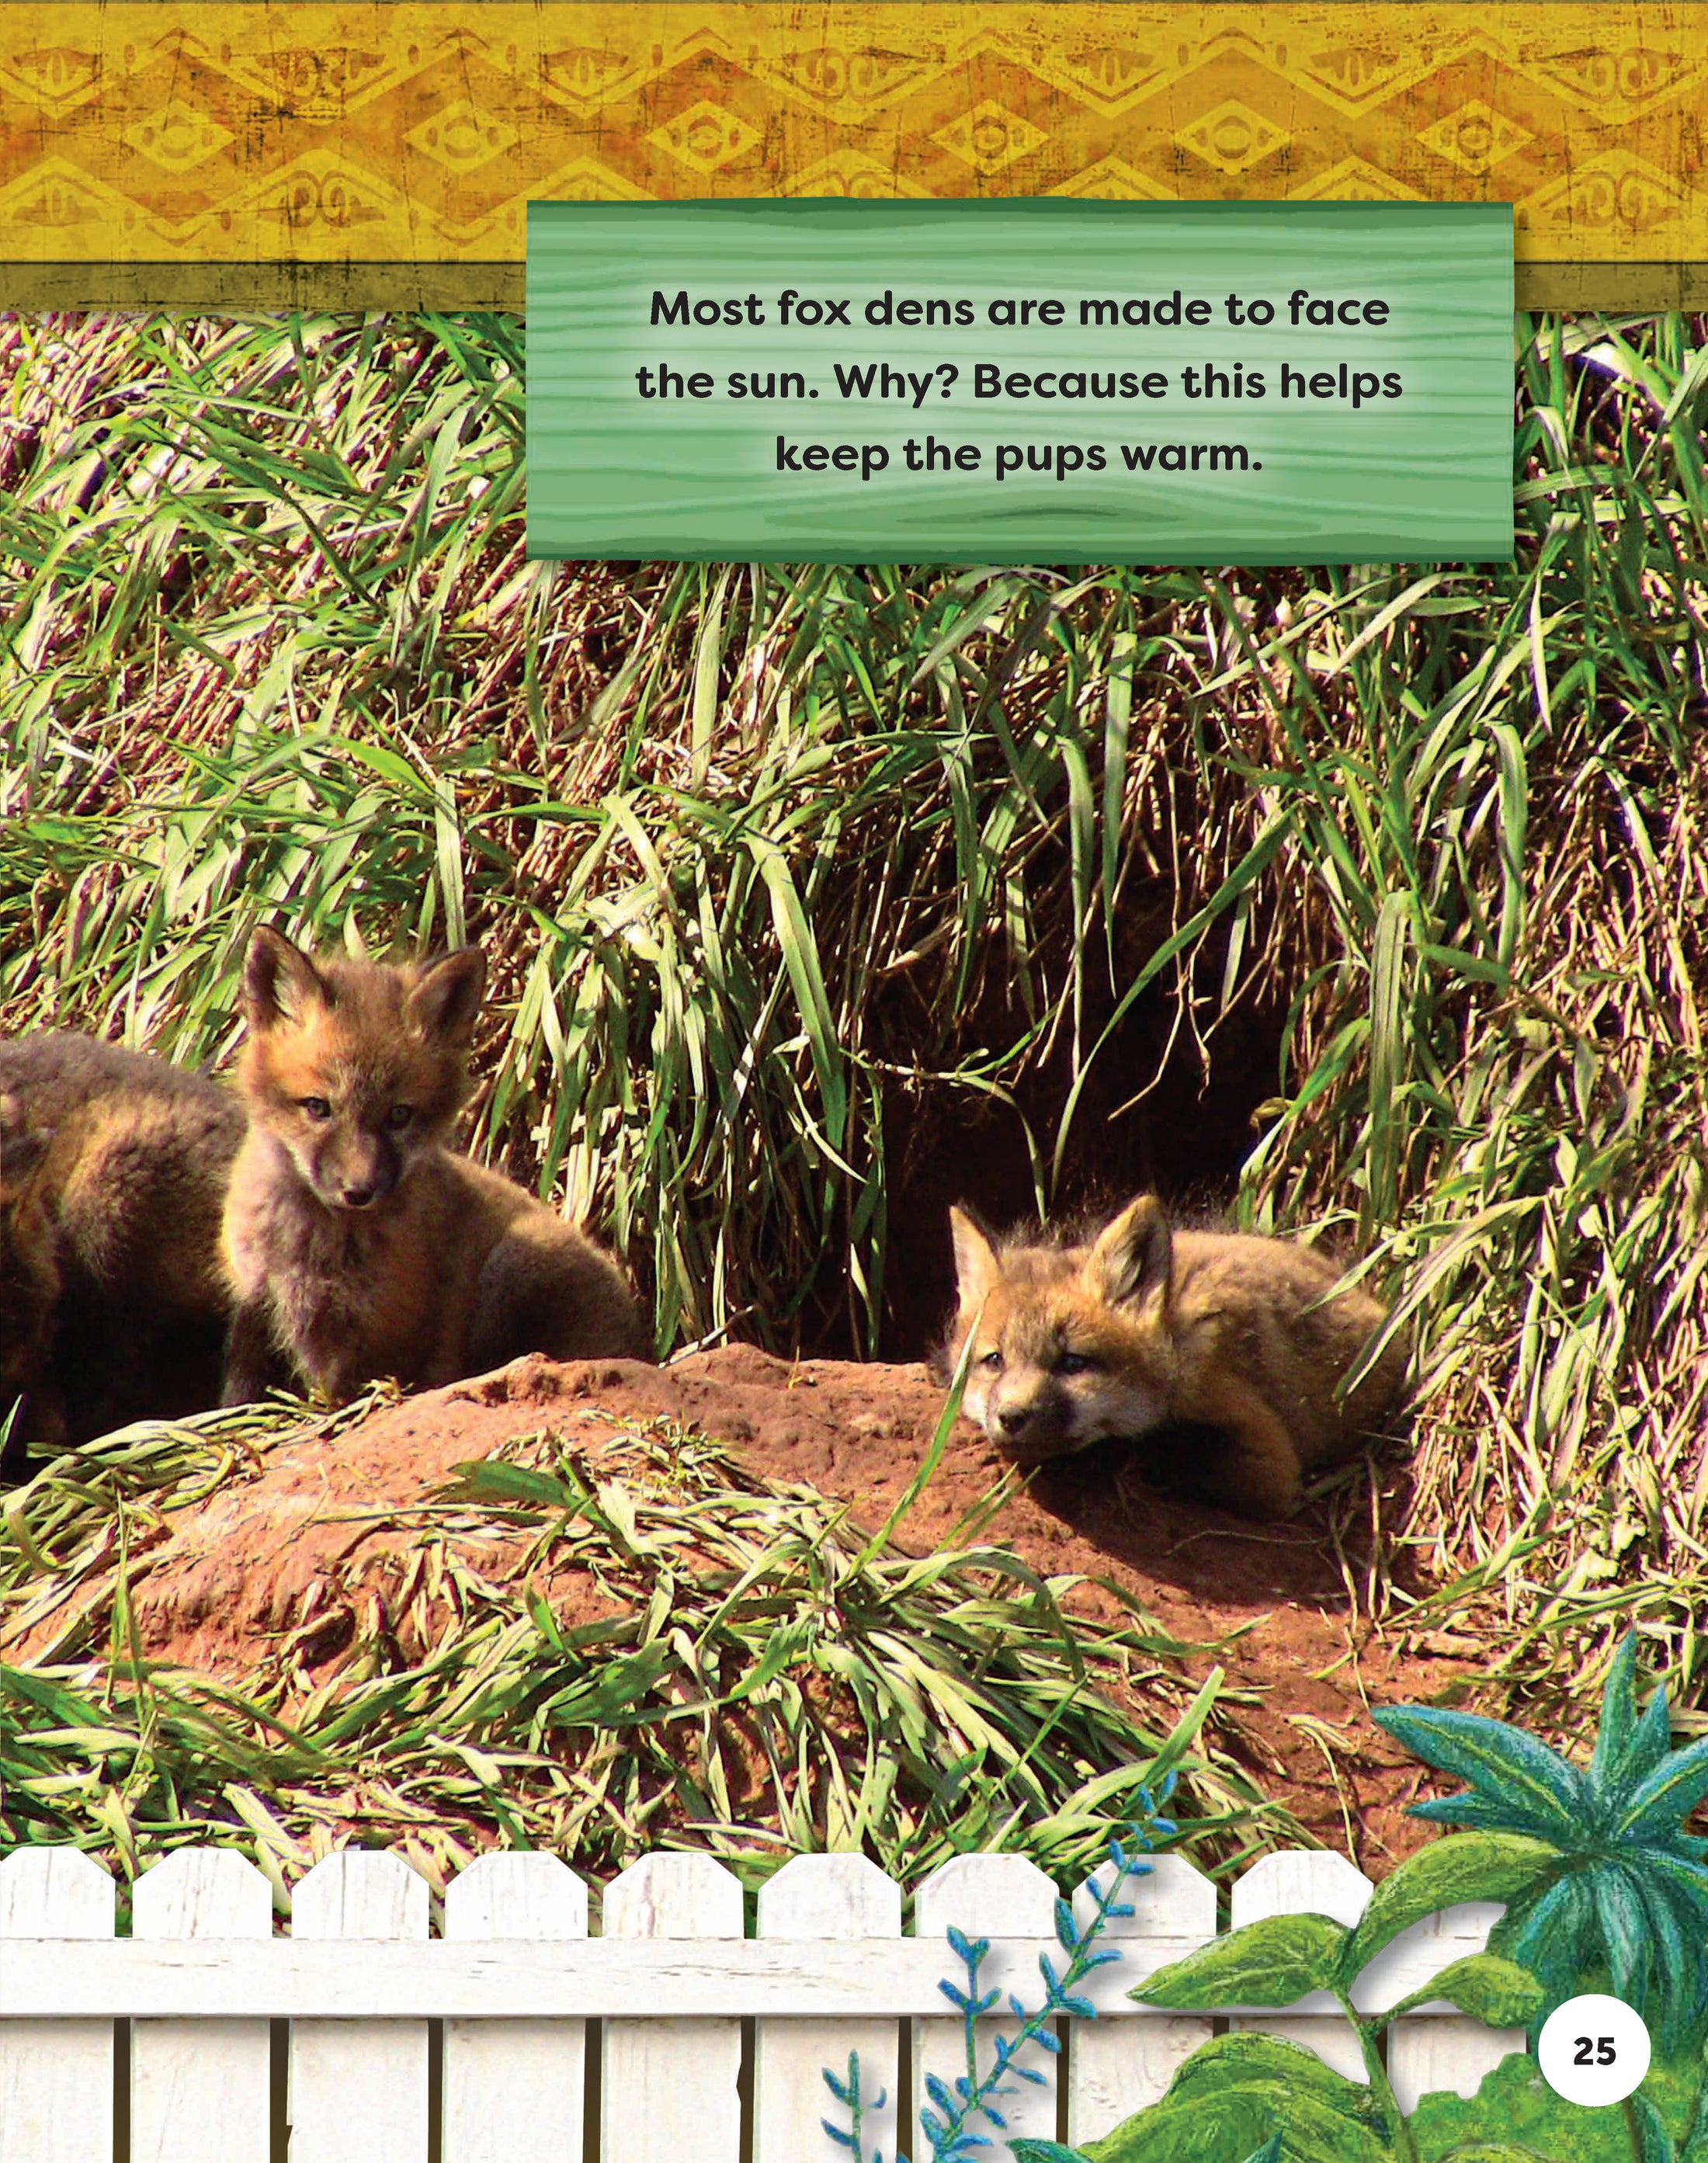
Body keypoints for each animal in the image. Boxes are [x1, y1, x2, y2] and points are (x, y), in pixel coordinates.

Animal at [219, 926, 650, 1408]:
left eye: (399, 1115)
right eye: (318, 1107)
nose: (359, 1191)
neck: (312, 1245)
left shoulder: (377, 1338)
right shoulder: (255, 1304)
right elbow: (238, 1397)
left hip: (507, 1271)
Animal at [935, 1194, 1408, 1520]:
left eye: (1072, 1363)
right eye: (994, 1360)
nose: (1012, 1417)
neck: (1178, 1347)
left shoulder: (1269, 1466)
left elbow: (1156, 1447)